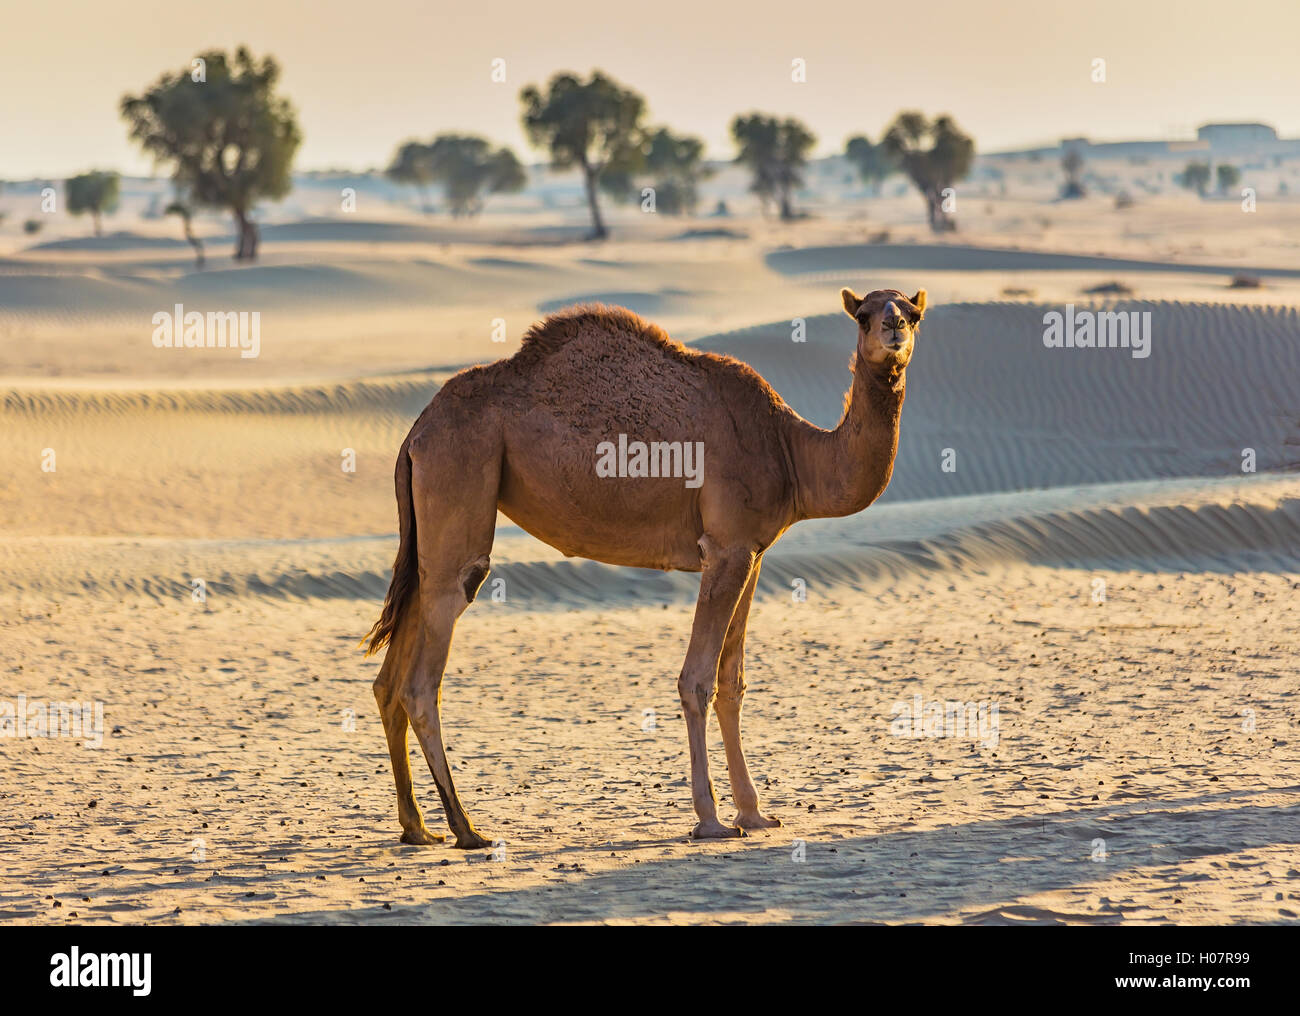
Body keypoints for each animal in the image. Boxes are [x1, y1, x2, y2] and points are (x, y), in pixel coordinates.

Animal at [364, 285, 926, 846]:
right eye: (863, 315)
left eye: (913, 312)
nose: (894, 328)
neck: (793, 452)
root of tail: (416, 432)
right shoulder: (725, 548)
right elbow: (696, 680)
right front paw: (710, 819)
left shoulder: (753, 553)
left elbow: (733, 683)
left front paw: (755, 814)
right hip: (460, 474)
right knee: (424, 675)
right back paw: (467, 828)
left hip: (428, 529)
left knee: (391, 673)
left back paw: (416, 827)